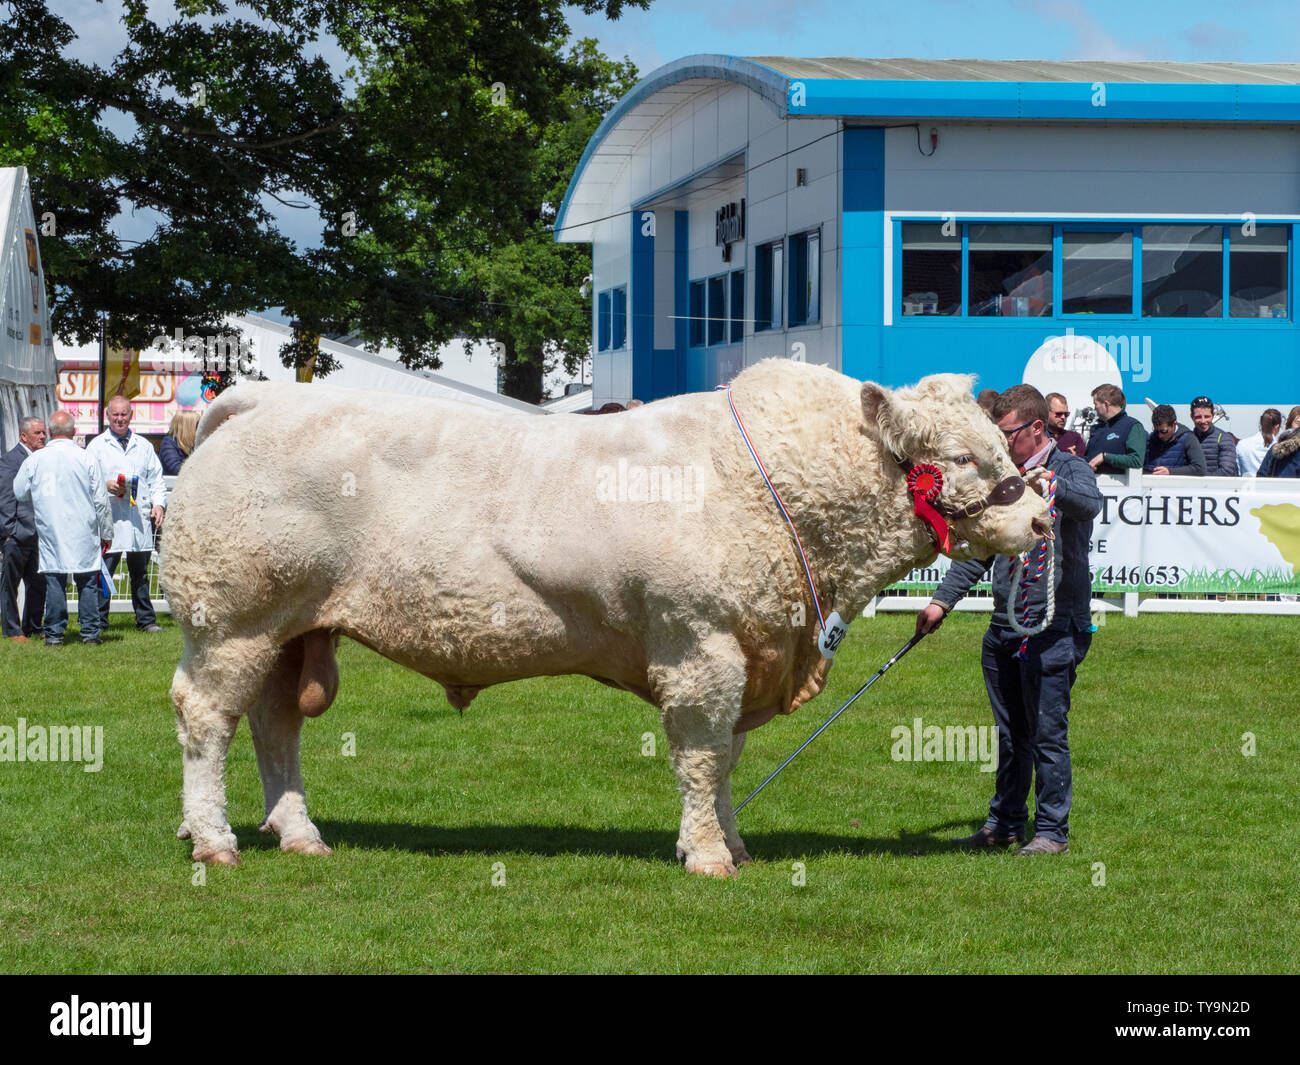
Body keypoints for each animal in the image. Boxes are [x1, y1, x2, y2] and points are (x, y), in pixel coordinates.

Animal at [163, 358, 1050, 877]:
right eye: (965, 457)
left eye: (1003, 443)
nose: (1042, 517)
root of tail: (252, 402)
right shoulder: (702, 646)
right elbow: (702, 757)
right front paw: (708, 855)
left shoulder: (744, 649)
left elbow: (727, 760)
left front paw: (731, 840)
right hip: (230, 621)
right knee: (207, 717)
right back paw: (214, 838)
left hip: (292, 631)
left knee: (276, 725)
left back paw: (298, 831)